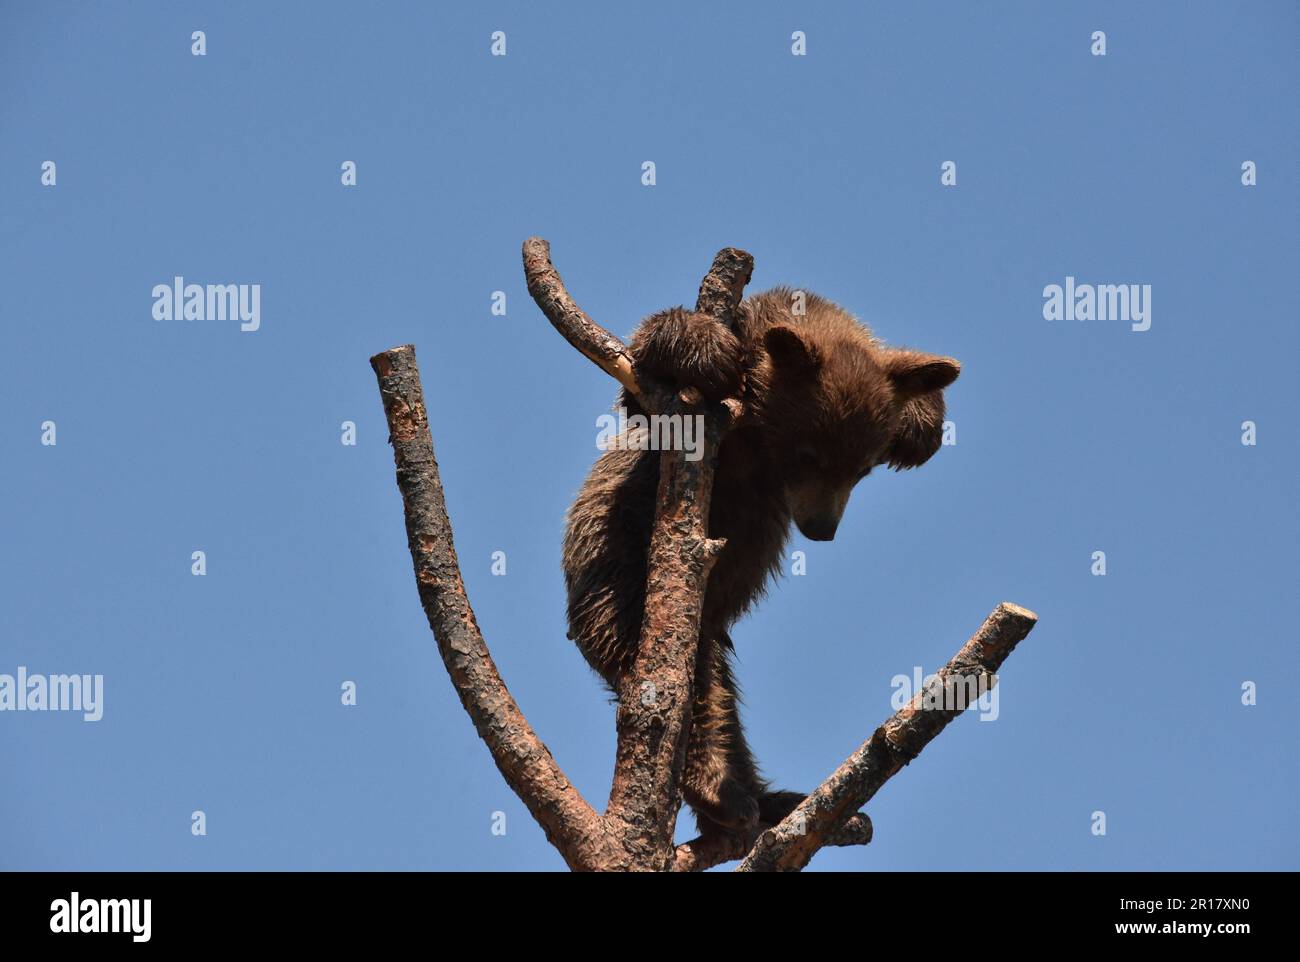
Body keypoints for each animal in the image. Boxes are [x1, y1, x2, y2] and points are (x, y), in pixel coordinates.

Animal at [562, 286, 960, 836]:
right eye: (807, 454)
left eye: (862, 468)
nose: (822, 529)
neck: (758, 445)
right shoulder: (682, 422)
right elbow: (645, 392)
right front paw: (703, 347)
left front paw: (923, 416)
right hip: (619, 573)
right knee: (669, 678)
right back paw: (718, 785)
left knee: (718, 686)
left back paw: (763, 798)